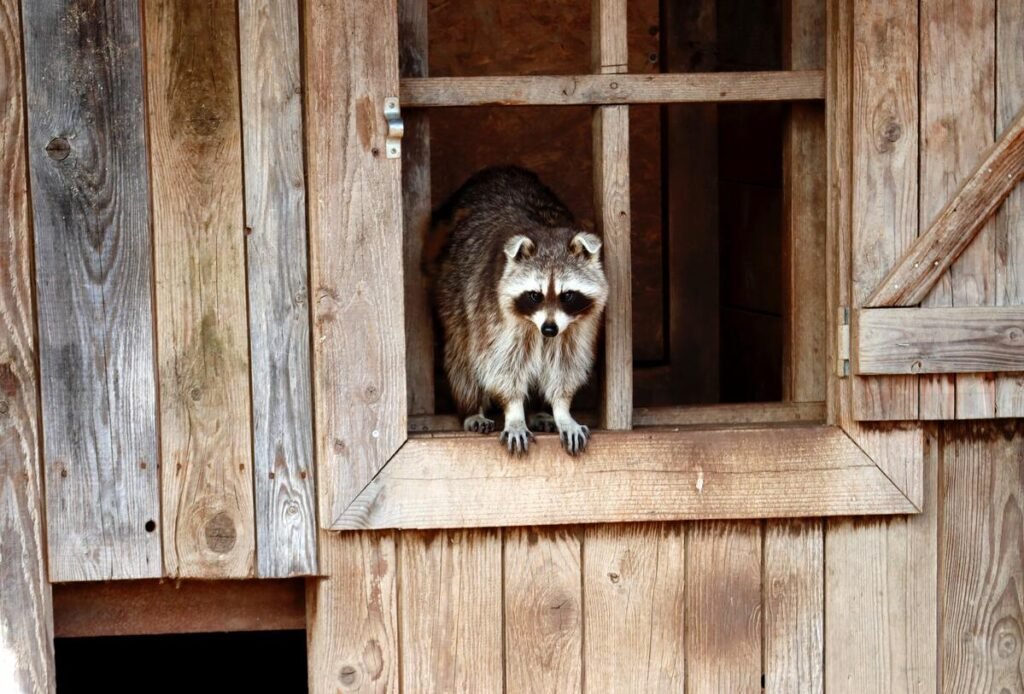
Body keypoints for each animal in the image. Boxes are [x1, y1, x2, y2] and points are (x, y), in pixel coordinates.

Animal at [432, 166, 608, 455]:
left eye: (567, 295)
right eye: (535, 295)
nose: (549, 329)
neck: (547, 231)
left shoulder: (578, 324)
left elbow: (566, 362)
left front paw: (562, 410)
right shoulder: (493, 309)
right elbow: (501, 363)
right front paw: (514, 412)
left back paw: (539, 411)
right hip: (452, 293)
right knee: (462, 357)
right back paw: (472, 408)